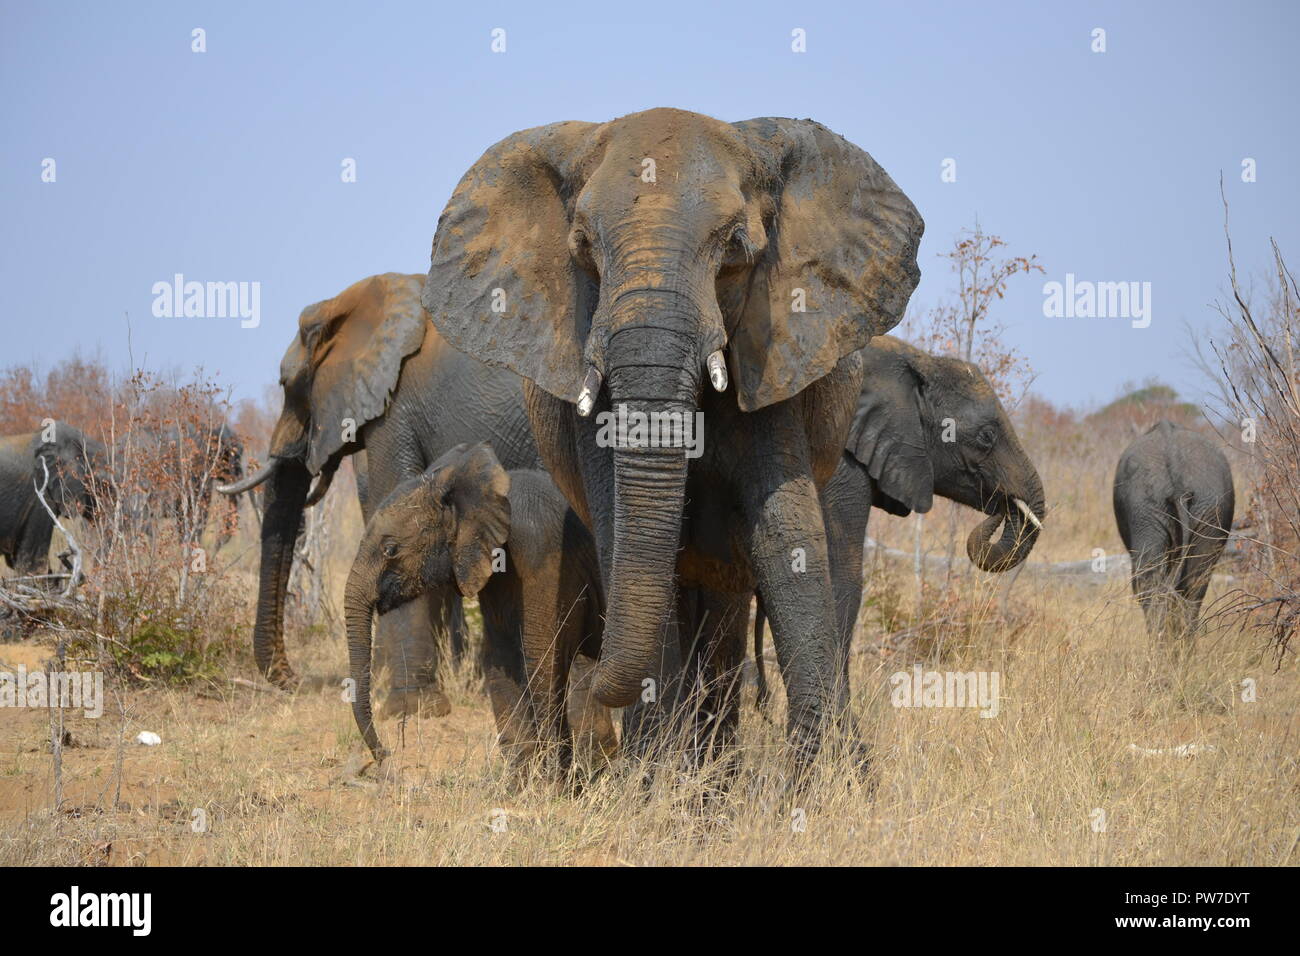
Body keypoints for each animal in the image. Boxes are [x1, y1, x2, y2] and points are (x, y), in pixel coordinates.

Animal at [345, 443, 616, 774]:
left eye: (391, 549)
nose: (385, 756)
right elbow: (501, 658)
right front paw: (524, 778)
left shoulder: (541, 554)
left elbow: (542, 661)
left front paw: (552, 781)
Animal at [421, 108, 924, 775]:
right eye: (583, 247)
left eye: (736, 246)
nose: (591, 677)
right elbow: (624, 533)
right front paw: (651, 781)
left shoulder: (770, 350)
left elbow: (783, 530)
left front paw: (830, 781)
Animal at [753, 335, 1046, 704]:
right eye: (987, 436)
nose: (1003, 505)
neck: (915, 359)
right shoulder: (842, 460)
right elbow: (841, 577)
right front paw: (846, 723)